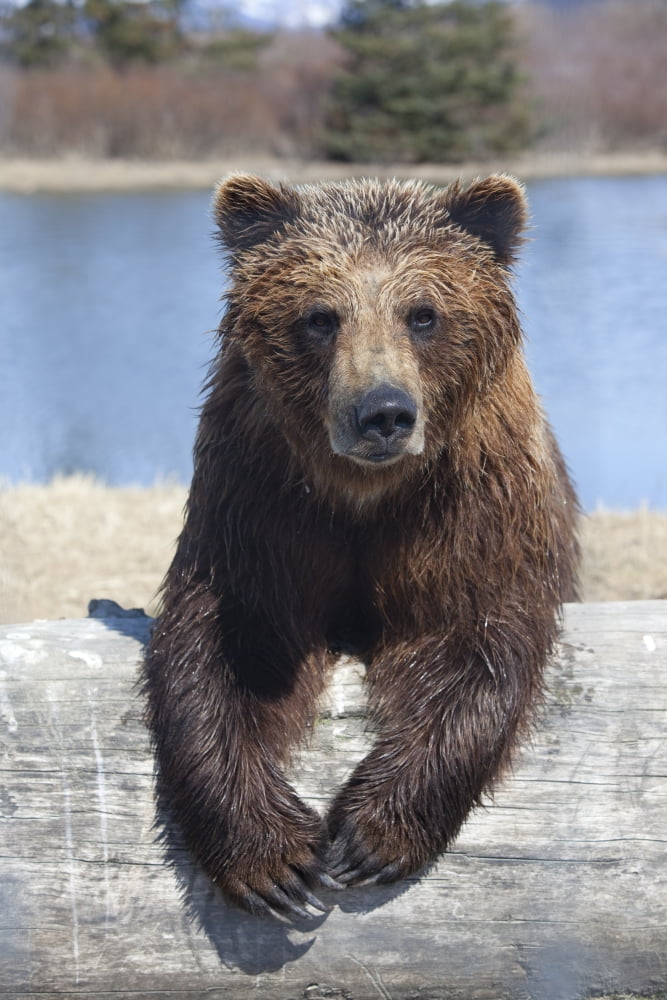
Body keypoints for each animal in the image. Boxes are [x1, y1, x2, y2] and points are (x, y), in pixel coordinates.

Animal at [143, 173, 579, 921]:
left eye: (423, 313)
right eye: (321, 316)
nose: (382, 412)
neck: (363, 494)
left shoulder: (471, 509)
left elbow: (481, 642)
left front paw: (371, 836)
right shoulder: (258, 503)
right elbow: (223, 648)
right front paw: (274, 860)